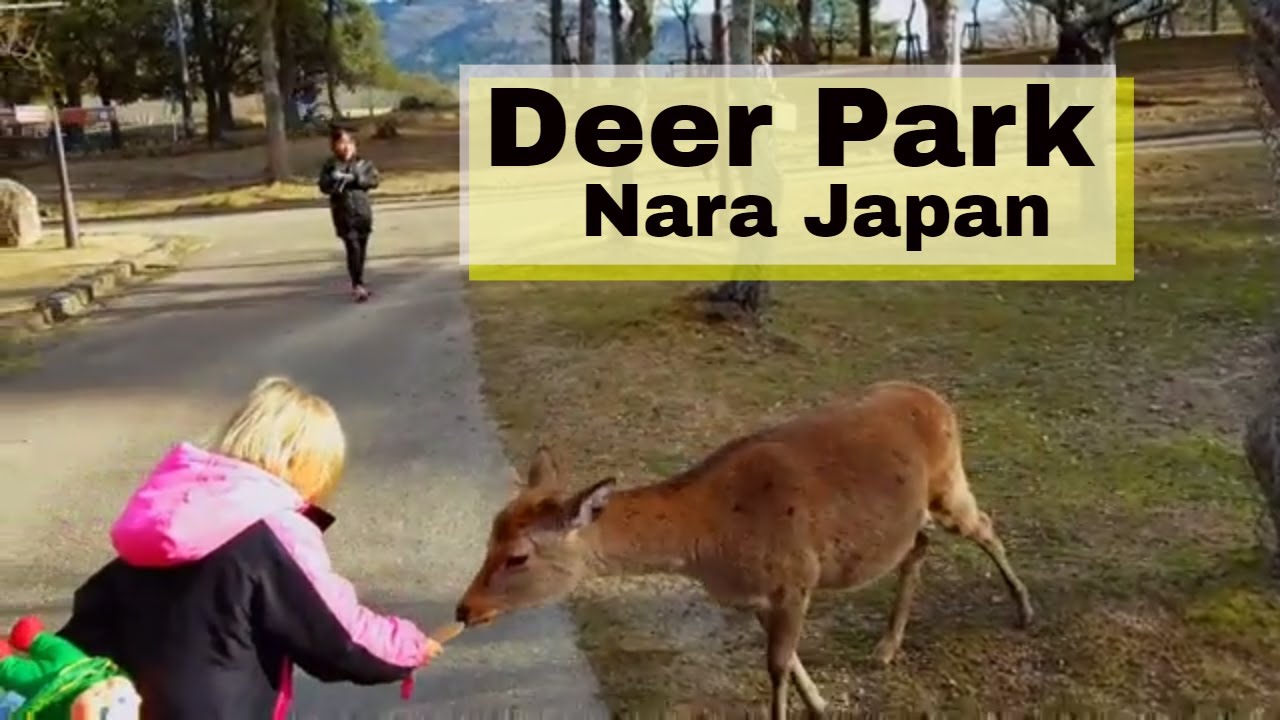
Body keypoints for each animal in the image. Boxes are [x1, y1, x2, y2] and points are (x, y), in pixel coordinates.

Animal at [456, 380, 1034, 719]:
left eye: (518, 556)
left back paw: (1025, 611)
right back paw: (887, 647)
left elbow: (775, 666)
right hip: (913, 512)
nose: (465, 608)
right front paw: (821, 703)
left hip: (949, 482)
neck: (710, 542)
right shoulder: (759, 595)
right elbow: (789, 660)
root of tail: (936, 396)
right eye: (489, 534)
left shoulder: (796, 576)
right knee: (919, 543)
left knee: (985, 525)